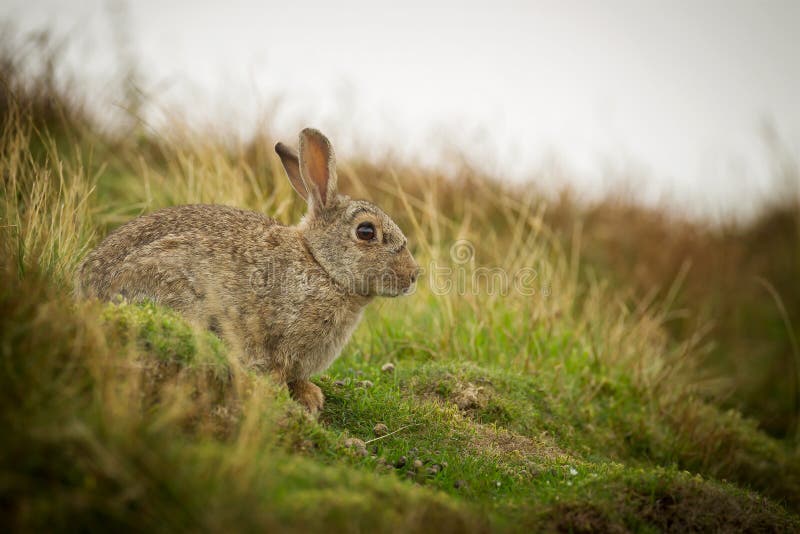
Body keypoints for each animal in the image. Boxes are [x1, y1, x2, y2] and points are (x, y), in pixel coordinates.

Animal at [76, 128, 420, 414]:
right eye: (366, 231)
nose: (413, 274)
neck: (321, 266)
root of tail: (88, 290)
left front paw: (310, 394)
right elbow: (277, 370)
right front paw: (301, 400)